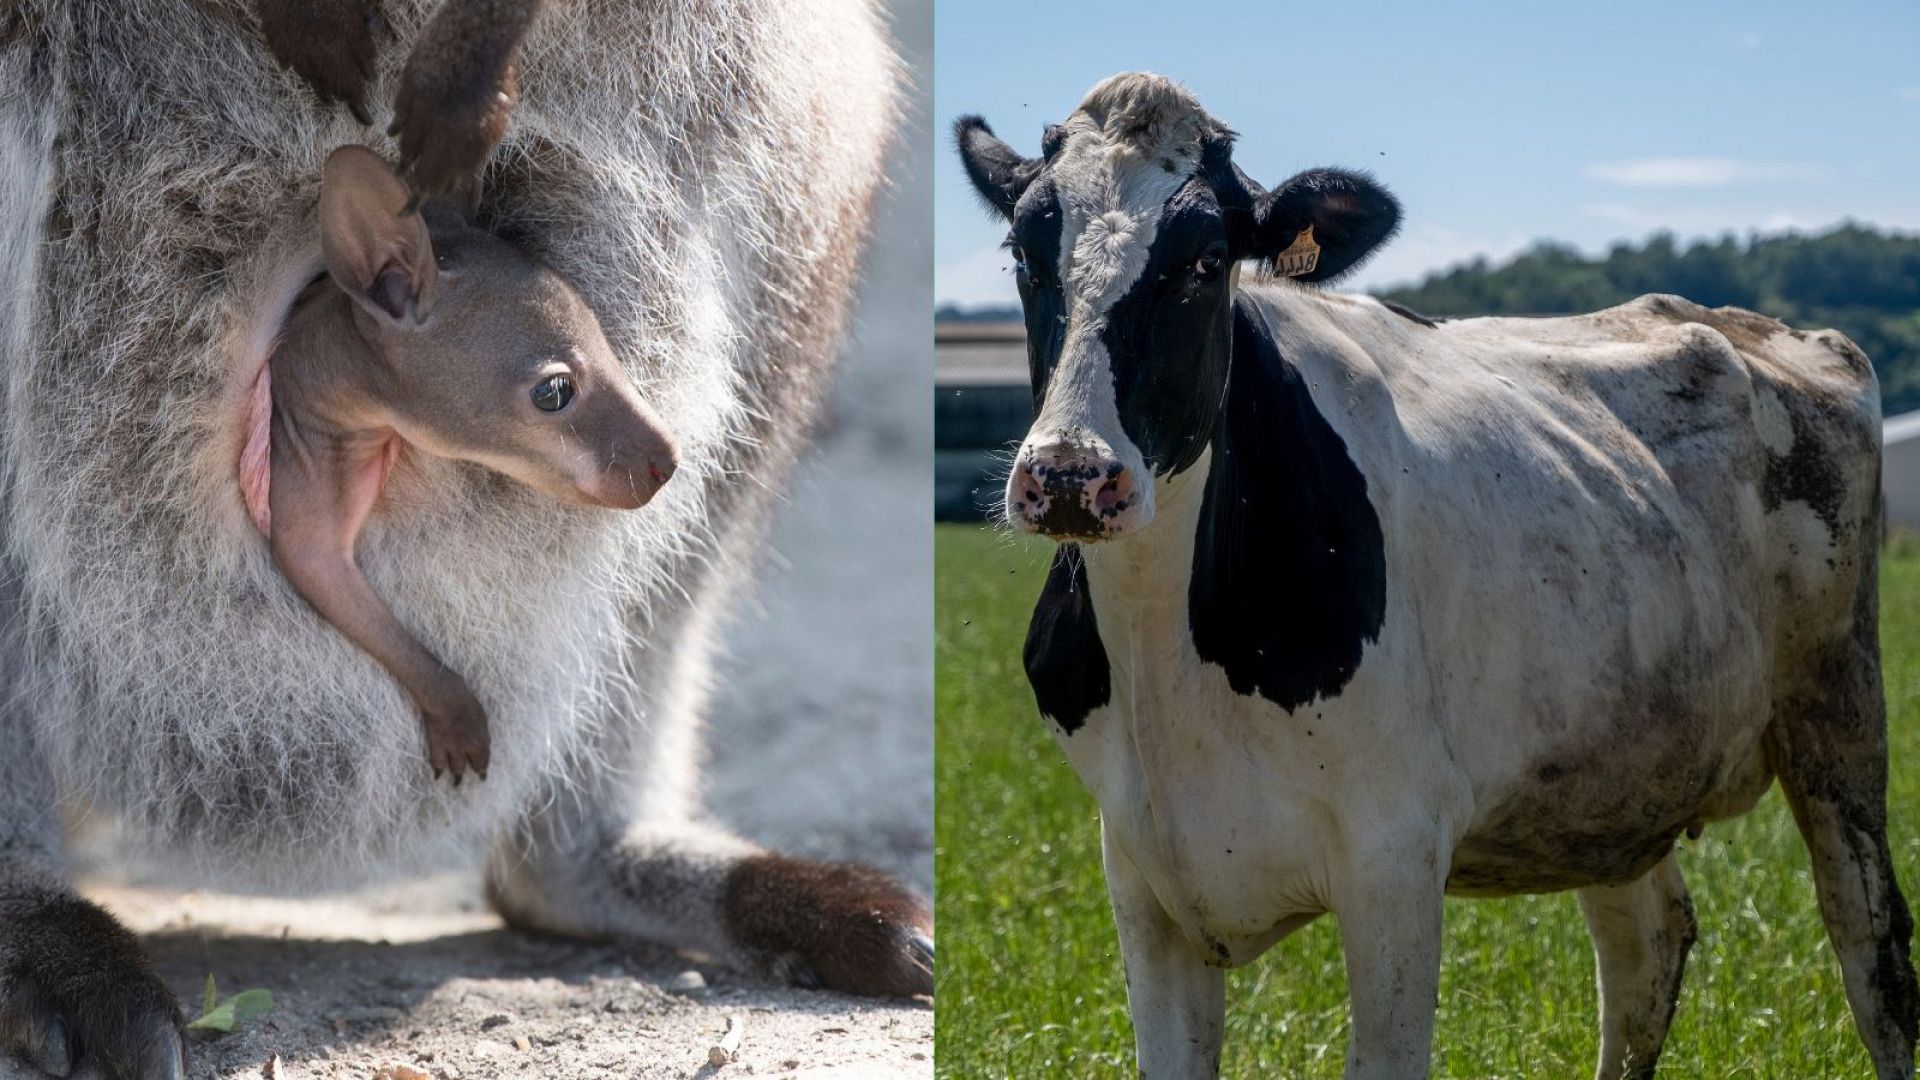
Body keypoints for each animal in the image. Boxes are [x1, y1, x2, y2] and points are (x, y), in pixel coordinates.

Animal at [956, 71, 1917, 1079]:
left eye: (1208, 260)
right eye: (1024, 251)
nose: (1070, 476)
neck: (1166, 669)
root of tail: (1755, 326)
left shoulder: (1395, 858)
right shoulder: (1142, 871)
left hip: (1839, 704)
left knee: (1871, 946)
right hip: (1618, 767)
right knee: (1646, 950)